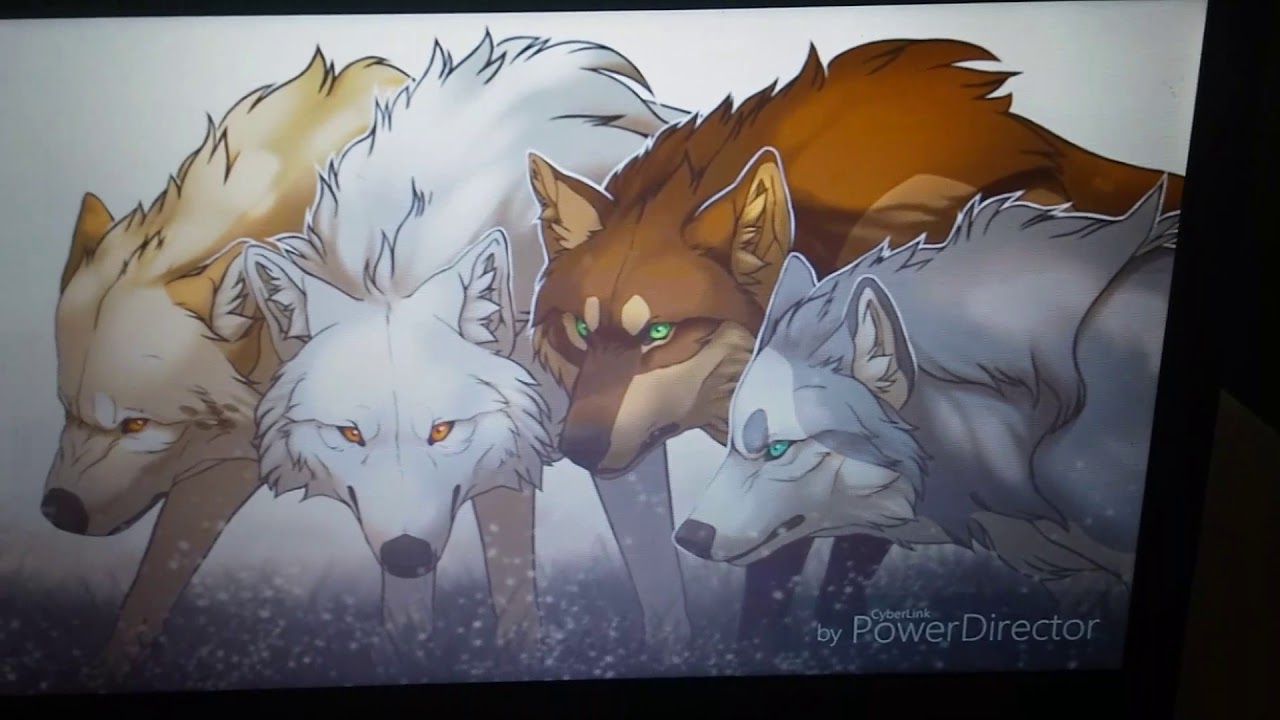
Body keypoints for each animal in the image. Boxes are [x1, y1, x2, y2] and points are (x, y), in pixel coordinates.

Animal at [42, 50, 410, 678]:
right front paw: (106, 672)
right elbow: (152, 583)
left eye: (135, 423)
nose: (55, 511)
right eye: (68, 412)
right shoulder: (221, 465)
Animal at [230, 34, 687, 655]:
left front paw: (674, 648)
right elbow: (490, 576)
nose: (407, 555)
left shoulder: (611, 438)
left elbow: (654, 563)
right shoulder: (510, 445)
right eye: (349, 434)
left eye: (442, 430)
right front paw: (424, 651)